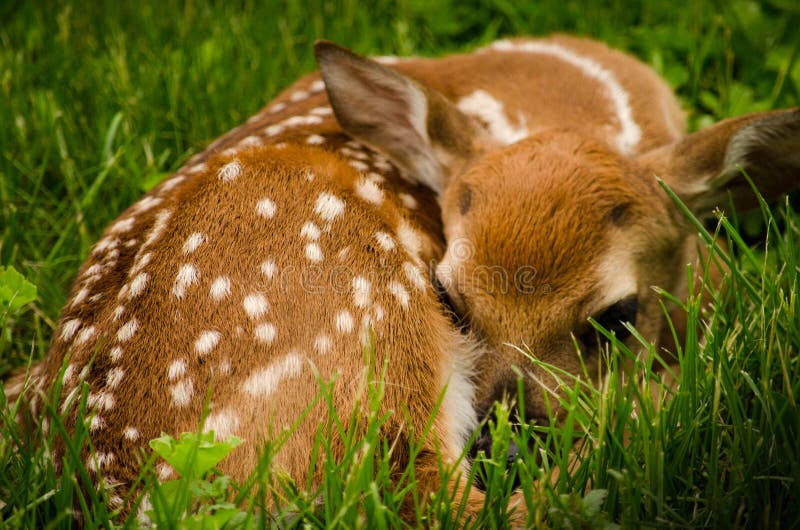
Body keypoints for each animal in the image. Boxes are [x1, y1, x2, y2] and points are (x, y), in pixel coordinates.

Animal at [6, 34, 799, 524]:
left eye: (617, 315)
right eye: (449, 295)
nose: (506, 439)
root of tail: (126, 485)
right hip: (367, 323)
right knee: (452, 505)